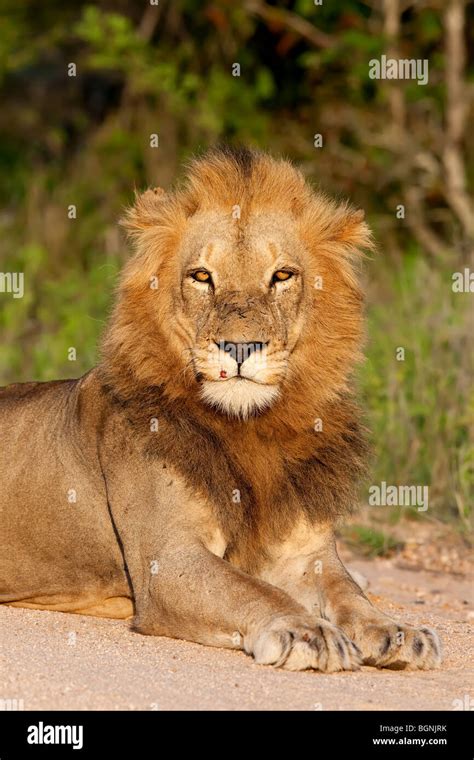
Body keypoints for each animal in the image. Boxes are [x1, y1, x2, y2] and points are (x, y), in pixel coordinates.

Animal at [0, 146, 440, 672]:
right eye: (202, 277)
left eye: (282, 276)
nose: (240, 347)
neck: (253, 428)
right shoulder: (168, 560)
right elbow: (254, 591)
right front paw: (309, 631)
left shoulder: (308, 555)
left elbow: (350, 592)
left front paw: (397, 631)